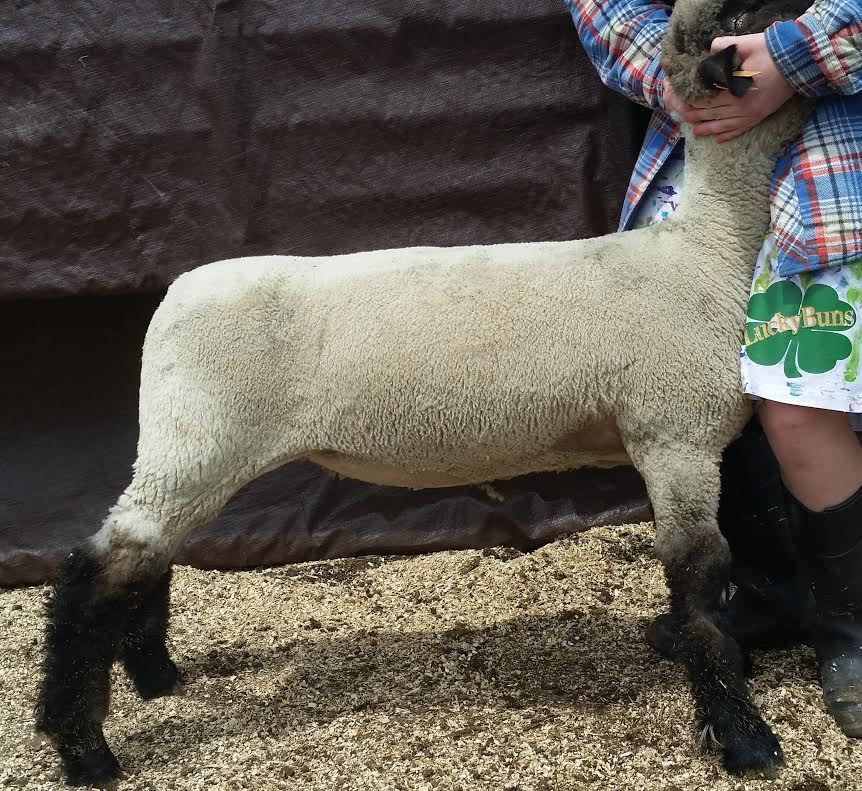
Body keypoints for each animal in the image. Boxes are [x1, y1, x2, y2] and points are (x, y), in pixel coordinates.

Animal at [35, 0, 812, 784]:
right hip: (201, 436)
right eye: (754, 20)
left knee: (147, 556)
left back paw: (155, 676)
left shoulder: (683, 438)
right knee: (101, 565)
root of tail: (172, 299)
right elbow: (699, 571)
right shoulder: (674, 432)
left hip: (192, 446)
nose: (808, 50)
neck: (706, 249)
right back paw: (84, 747)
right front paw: (741, 734)